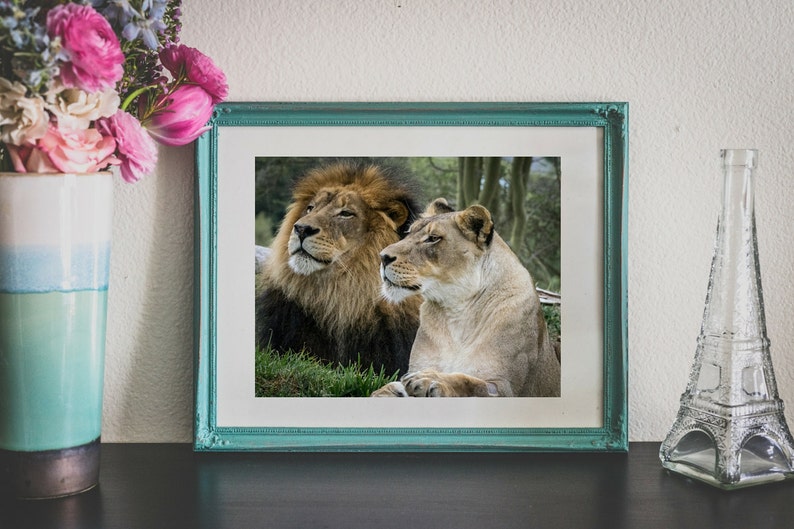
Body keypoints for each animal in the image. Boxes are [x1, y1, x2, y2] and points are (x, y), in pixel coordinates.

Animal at [371, 198, 561, 397]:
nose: (382, 257)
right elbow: (392, 386)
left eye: (433, 238)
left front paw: (430, 379)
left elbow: (470, 382)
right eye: (409, 233)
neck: (456, 313)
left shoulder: (506, 388)